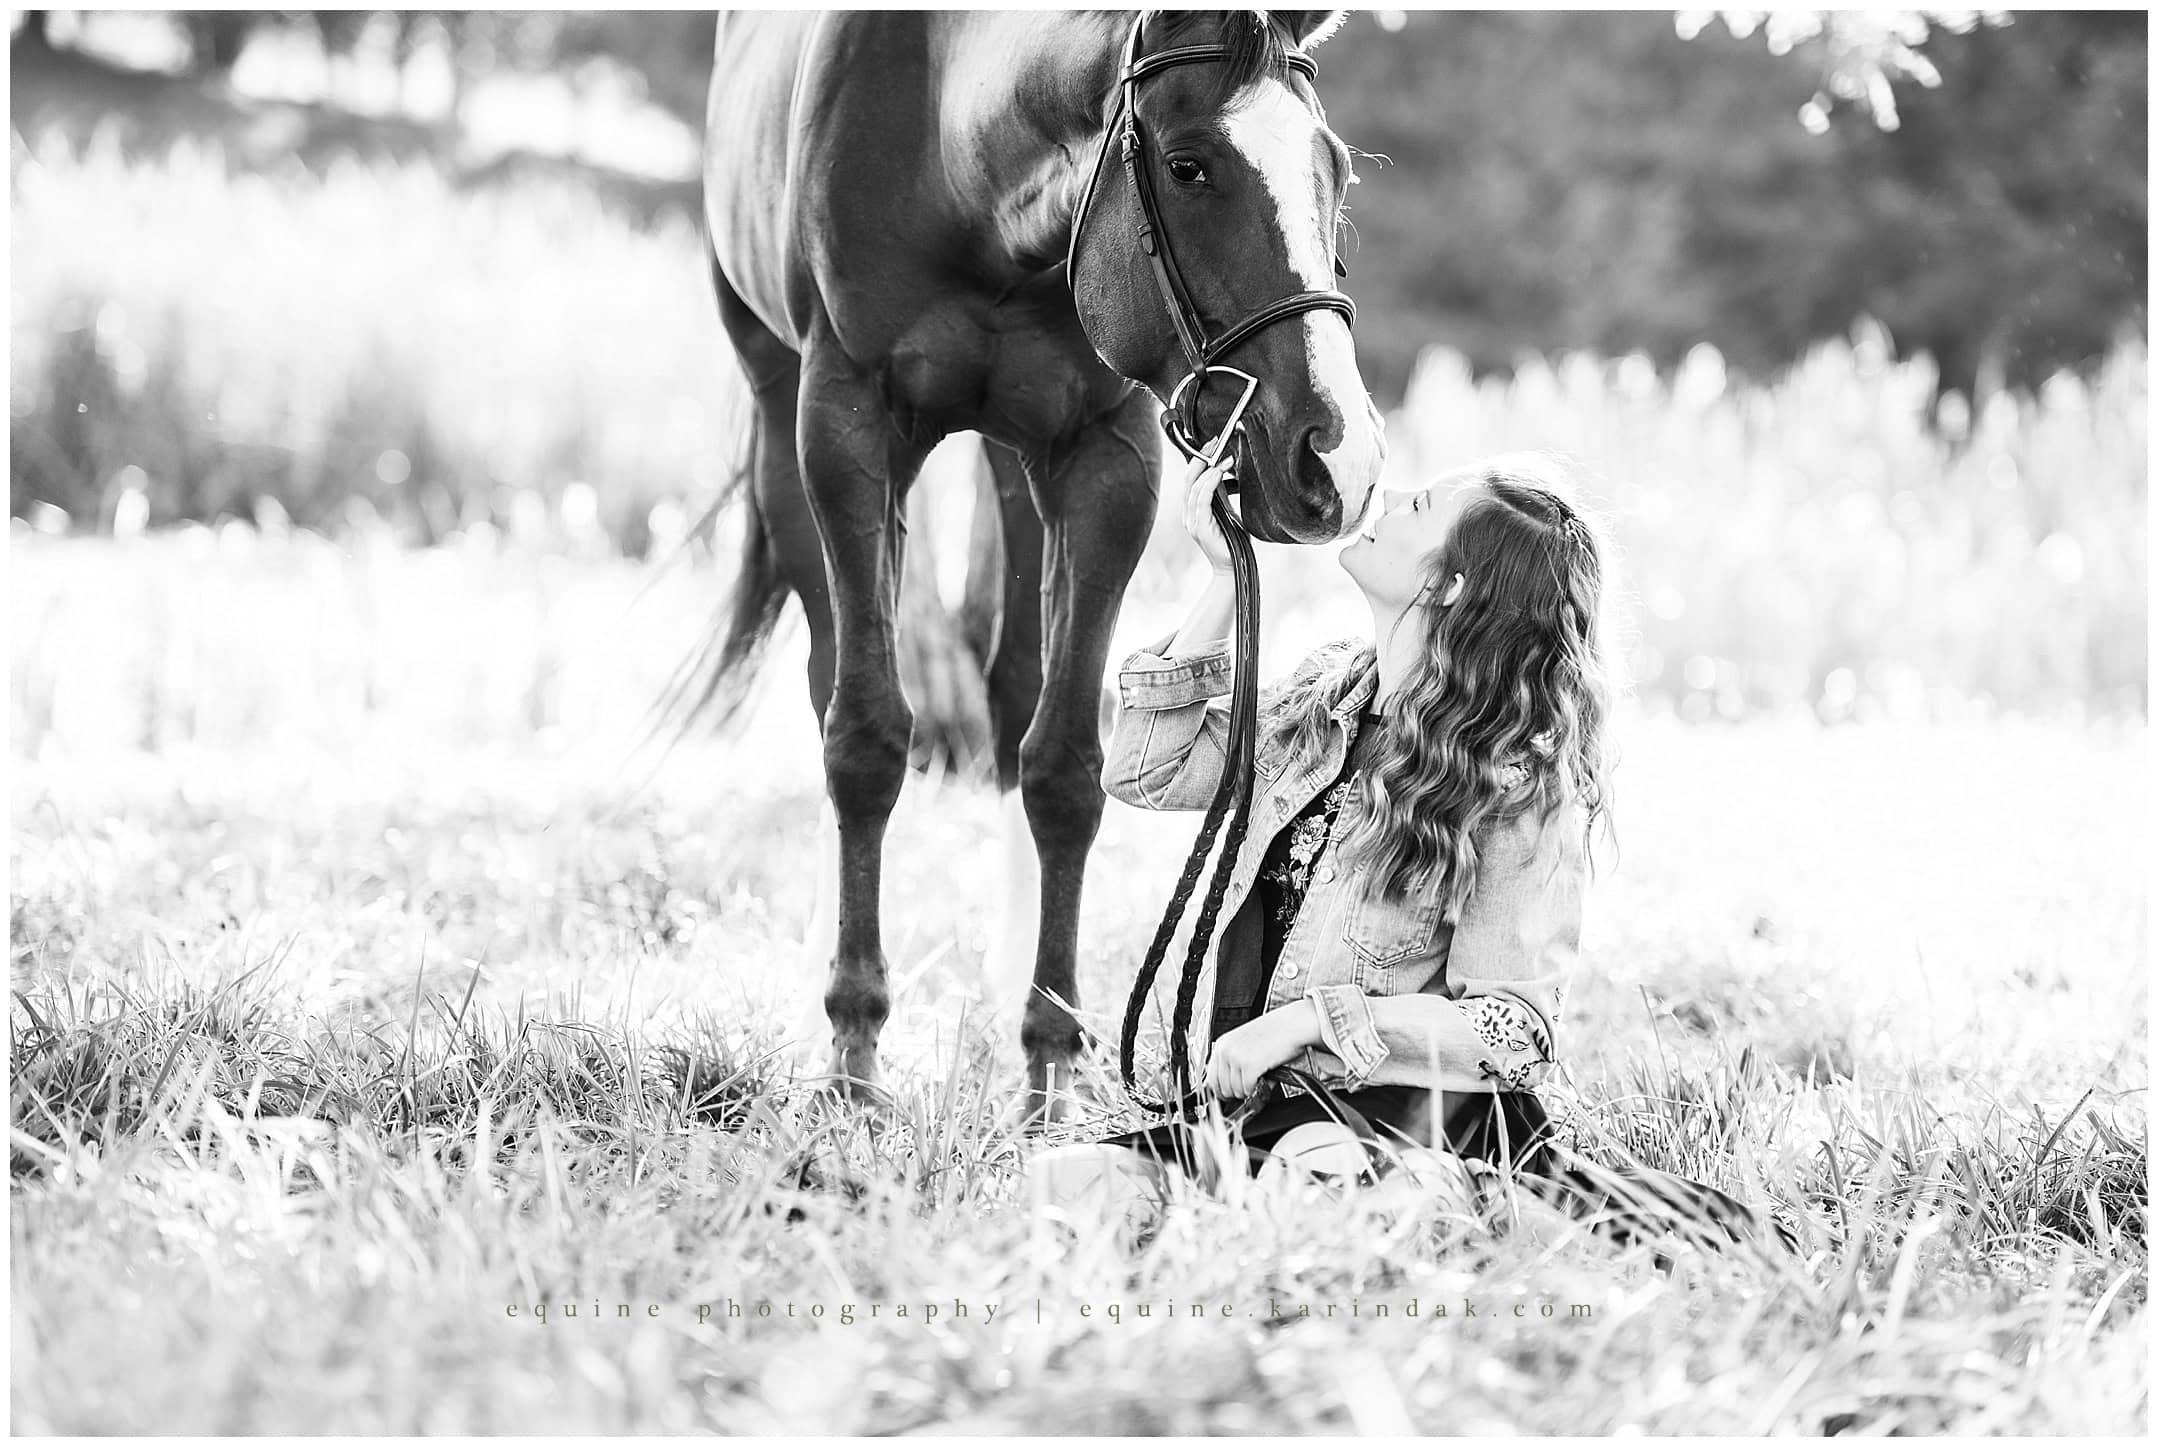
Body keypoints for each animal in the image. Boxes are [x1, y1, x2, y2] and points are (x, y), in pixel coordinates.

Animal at [693, 10, 1387, 1119]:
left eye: (1335, 169)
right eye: (1190, 167)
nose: (1339, 458)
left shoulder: (1105, 458)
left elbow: (1063, 766)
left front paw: (1051, 1064)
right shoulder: (843, 429)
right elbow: (865, 740)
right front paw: (853, 1054)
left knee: (1016, 689)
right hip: (774, 415)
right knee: (827, 680)